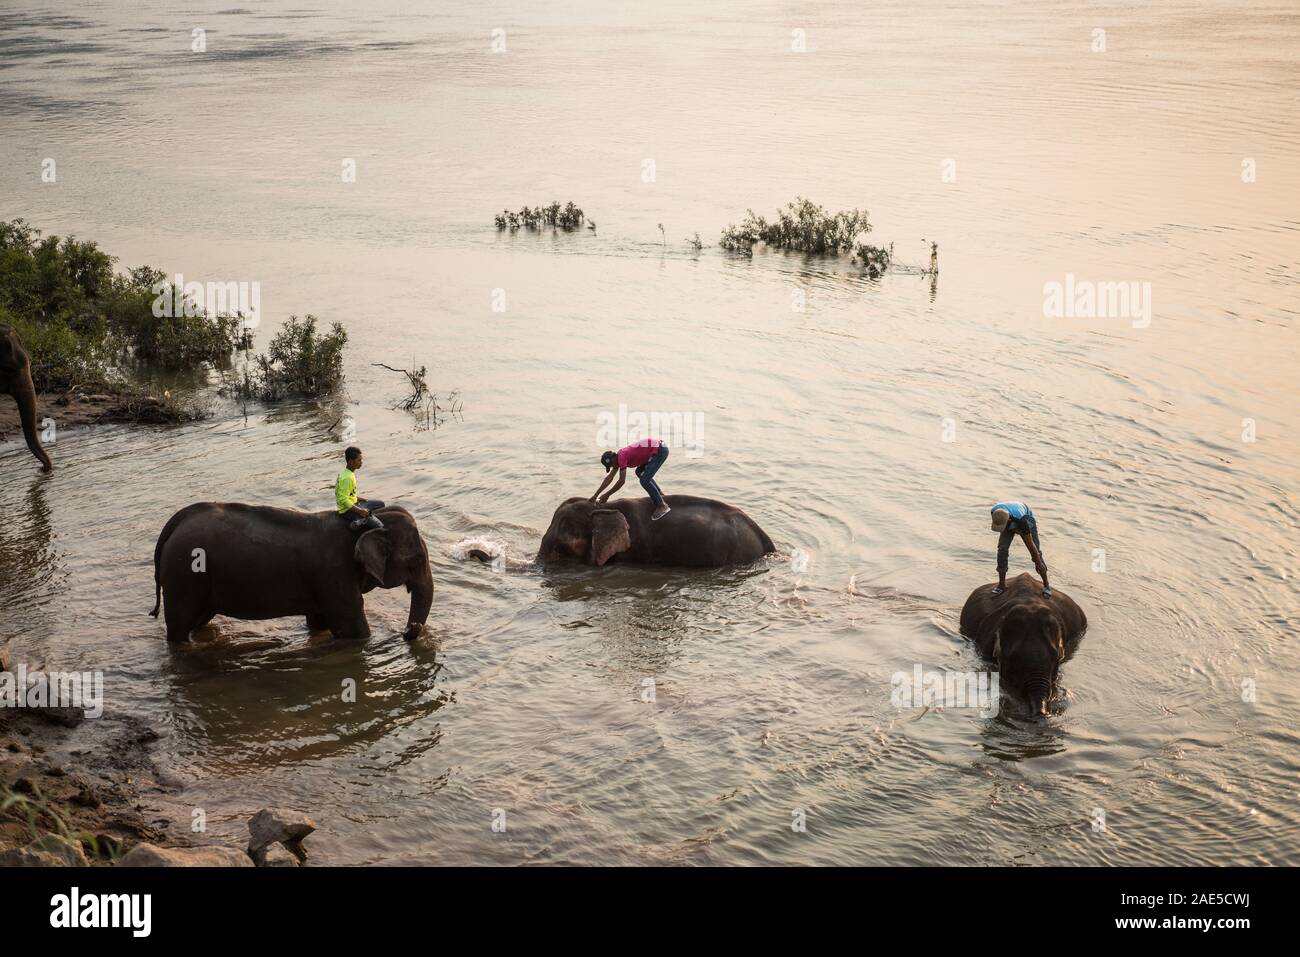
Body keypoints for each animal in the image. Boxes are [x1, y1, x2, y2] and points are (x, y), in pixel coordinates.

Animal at [150, 503, 433, 643]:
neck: (368, 522)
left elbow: (319, 623)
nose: (409, 631)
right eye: (417, 559)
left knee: (199, 620)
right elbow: (353, 630)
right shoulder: (335, 575)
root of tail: (172, 526)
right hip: (184, 576)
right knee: (179, 627)